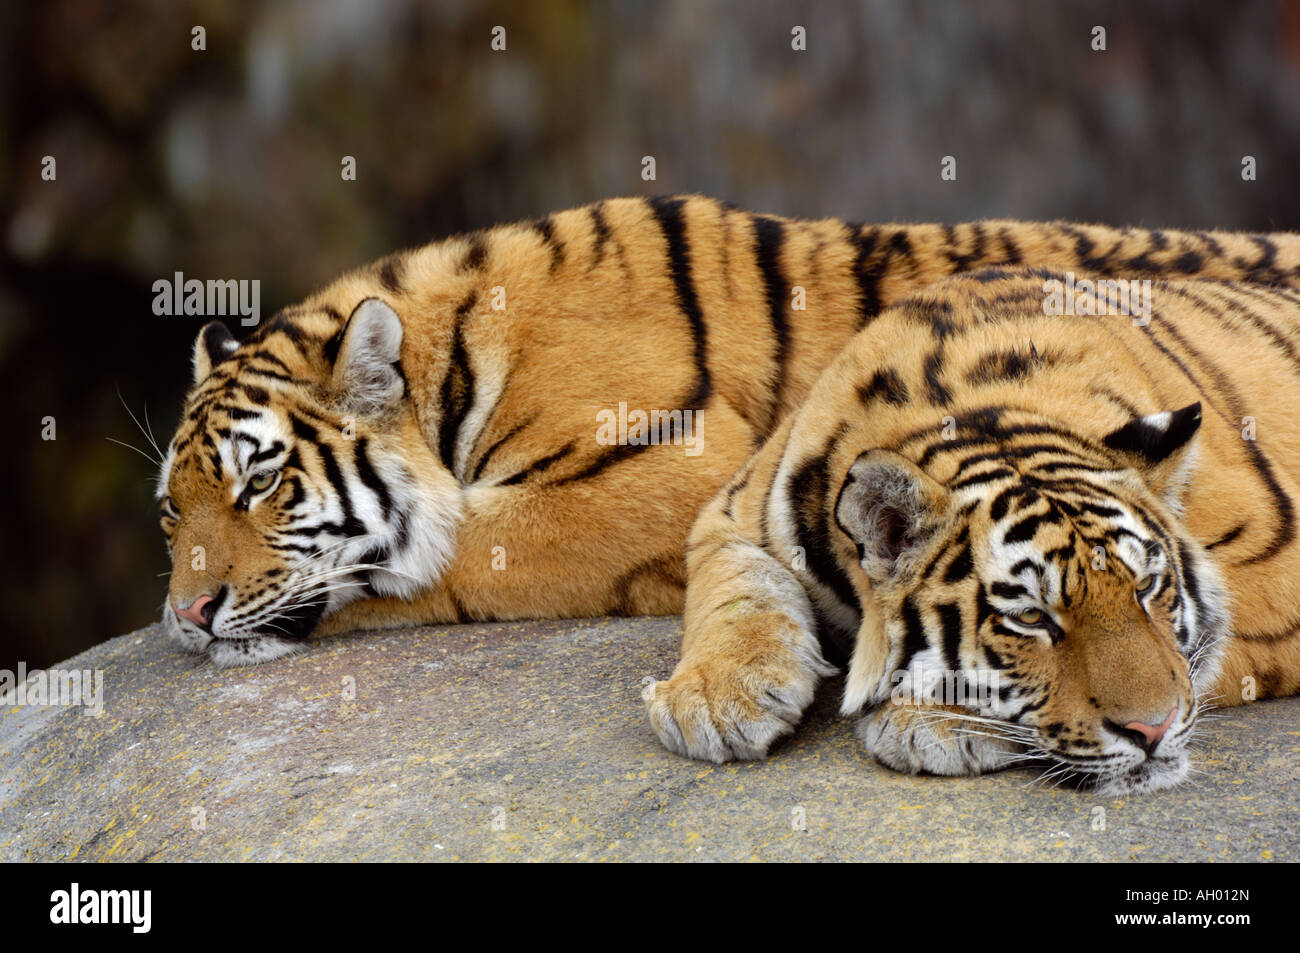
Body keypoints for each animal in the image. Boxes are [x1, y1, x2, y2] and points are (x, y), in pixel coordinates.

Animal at [645, 267, 1300, 792]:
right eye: (1031, 617)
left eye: (1144, 588)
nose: (1153, 730)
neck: (974, 406)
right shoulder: (734, 511)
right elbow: (736, 590)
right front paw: (716, 700)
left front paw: (926, 721)